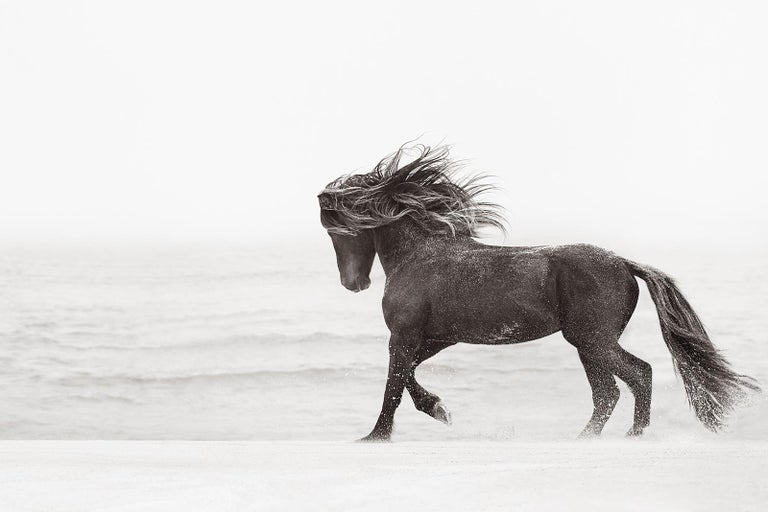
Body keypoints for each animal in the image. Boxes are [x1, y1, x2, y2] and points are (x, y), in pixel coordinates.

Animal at [318, 144, 759, 441]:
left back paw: (630, 436)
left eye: (337, 229)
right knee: (608, 392)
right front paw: (438, 409)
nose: (353, 283)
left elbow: (394, 381)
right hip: (588, 344)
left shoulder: (405, 335)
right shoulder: (439, 338)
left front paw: (377, 435)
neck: (420, 255)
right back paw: (587, 438)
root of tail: (623, 262)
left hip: (592, 339)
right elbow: (408, 374)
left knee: (638, 375)